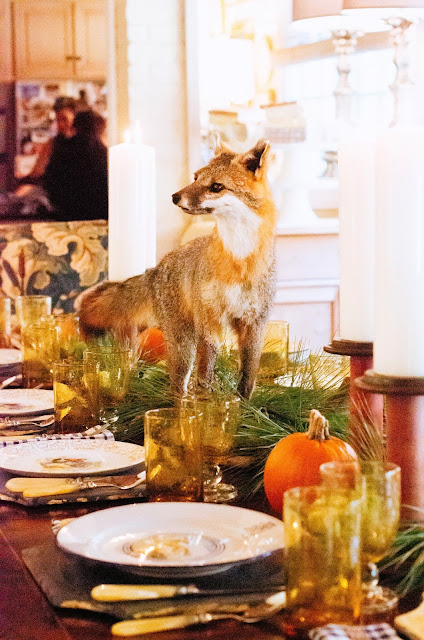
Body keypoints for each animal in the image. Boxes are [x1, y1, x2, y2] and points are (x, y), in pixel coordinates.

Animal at [77, 138, 278, 398]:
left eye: (216, 186)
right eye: (195, 177)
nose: (174, 197)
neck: (239, 259)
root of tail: (157, 267)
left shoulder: (254, 325)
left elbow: (247, 379)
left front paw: (244, 407)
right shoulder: (209, 323)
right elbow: (205, 374)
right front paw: (206, 406)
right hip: (183, 343)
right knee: (177, 384)